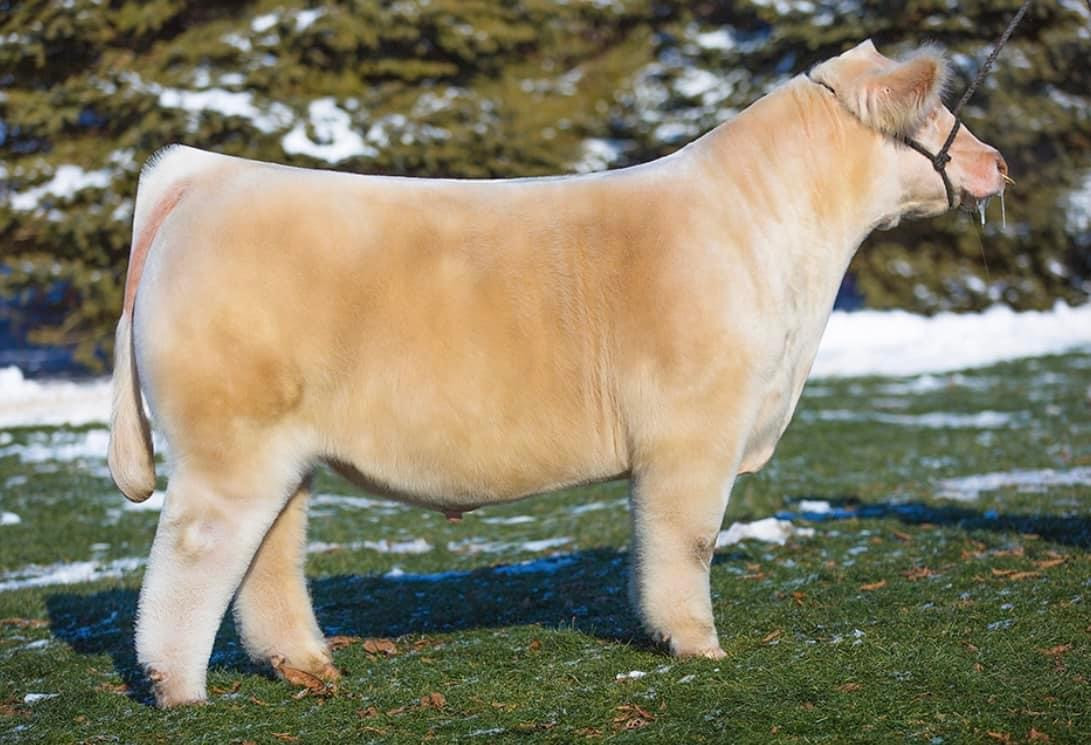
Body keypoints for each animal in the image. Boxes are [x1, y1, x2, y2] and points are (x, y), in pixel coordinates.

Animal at [108, 40, 1009, 707]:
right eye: (938, 114)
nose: (995, 162)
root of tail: (211, 175)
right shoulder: (694, 431)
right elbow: (684, 541)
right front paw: (696, 644)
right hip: (229, 448)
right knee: (193, 556)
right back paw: (179, 690)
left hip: (281, 453)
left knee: (267, 557)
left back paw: (306, 665)